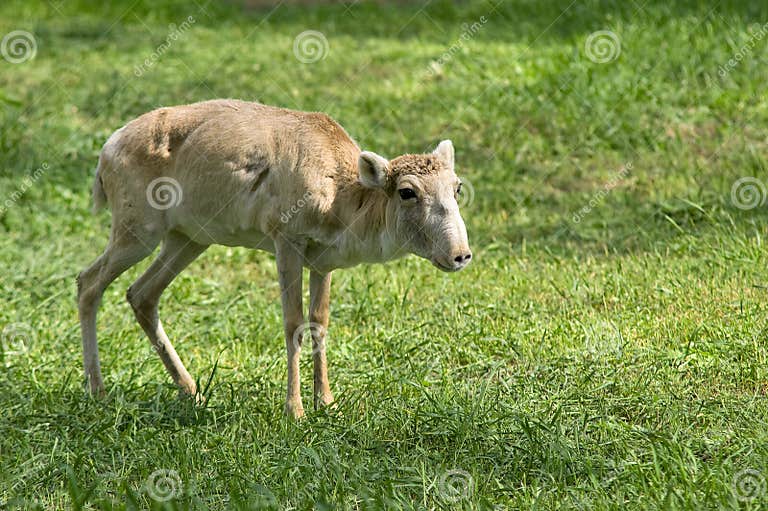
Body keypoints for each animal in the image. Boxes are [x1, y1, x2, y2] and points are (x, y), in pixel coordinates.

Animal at [77, 99, 472, 418]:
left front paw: (326, 403)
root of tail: (105, 151)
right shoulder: (286, 240)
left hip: (188, 238)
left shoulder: (323, 262)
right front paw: (294, 411)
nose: (460, 255)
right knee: (89, 282)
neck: (341, 195)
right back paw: (98, 391)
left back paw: (194, 393)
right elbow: (293, 322)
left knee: (142, 294)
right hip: (137, 230)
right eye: (406, 192)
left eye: (457, 187)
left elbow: (319, 322)